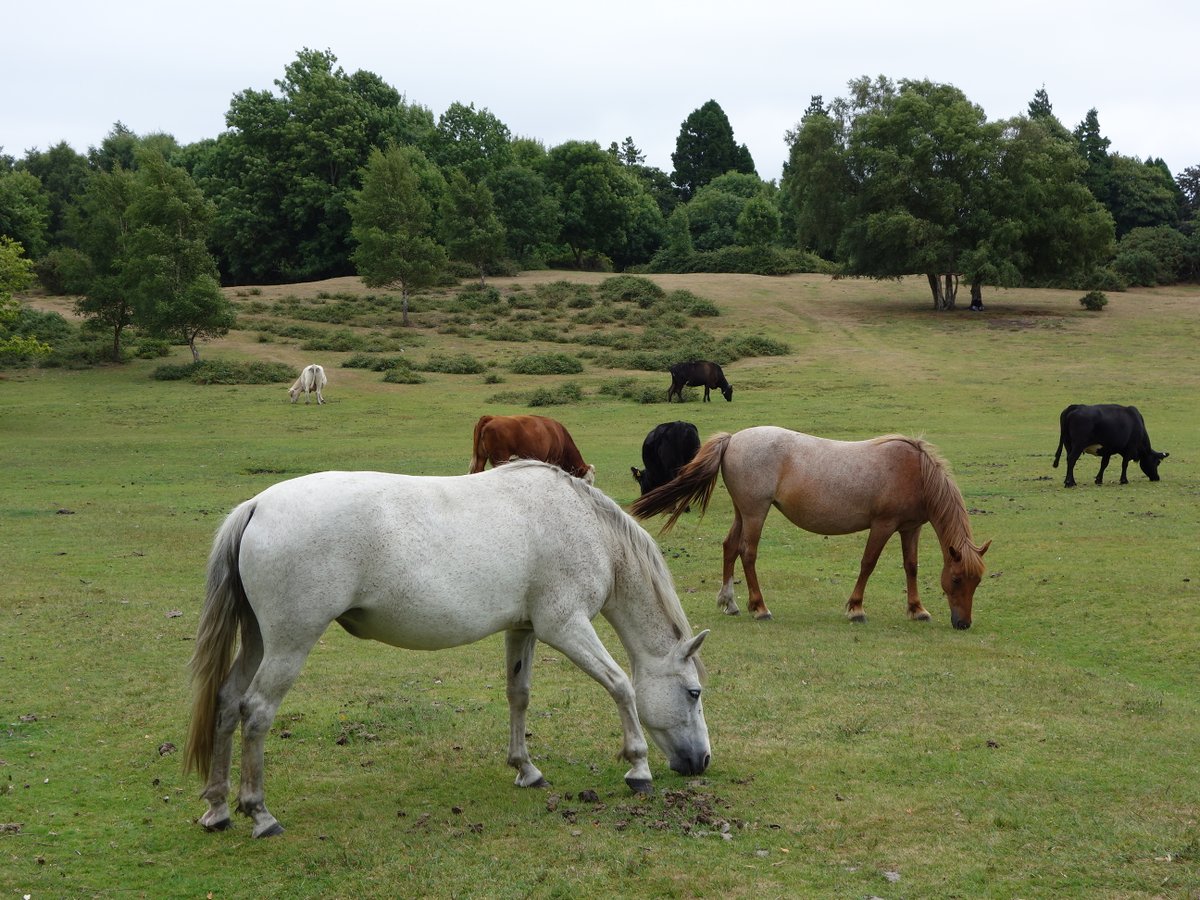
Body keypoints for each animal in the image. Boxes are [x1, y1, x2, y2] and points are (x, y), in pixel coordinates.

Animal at [184, 461, 710, 837]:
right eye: (694, 693)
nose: (701, 762)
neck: (581, 524)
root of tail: (257, 505)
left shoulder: (523, 630)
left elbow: (518, 696)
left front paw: (526, 769)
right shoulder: (566, 627)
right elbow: (621, 685)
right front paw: (638, 768)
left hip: (258, 640)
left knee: (227, 703)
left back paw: (218, 809)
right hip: (288, 644)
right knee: (255, 711)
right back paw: (260, 815)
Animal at [631, 426, 990, 628]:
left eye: (977, 582)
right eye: (956, 580)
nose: (963, 624)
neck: (914, 470)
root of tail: (733, 439)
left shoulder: (910, 527)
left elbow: (911, 566)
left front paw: (917, 610)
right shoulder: (883, 525)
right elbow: (868, 563)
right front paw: (856, 609)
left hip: (742, 512)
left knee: (730, 547)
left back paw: (729, 602)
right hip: (756, 513)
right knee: (748, 553)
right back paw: (759, 607)